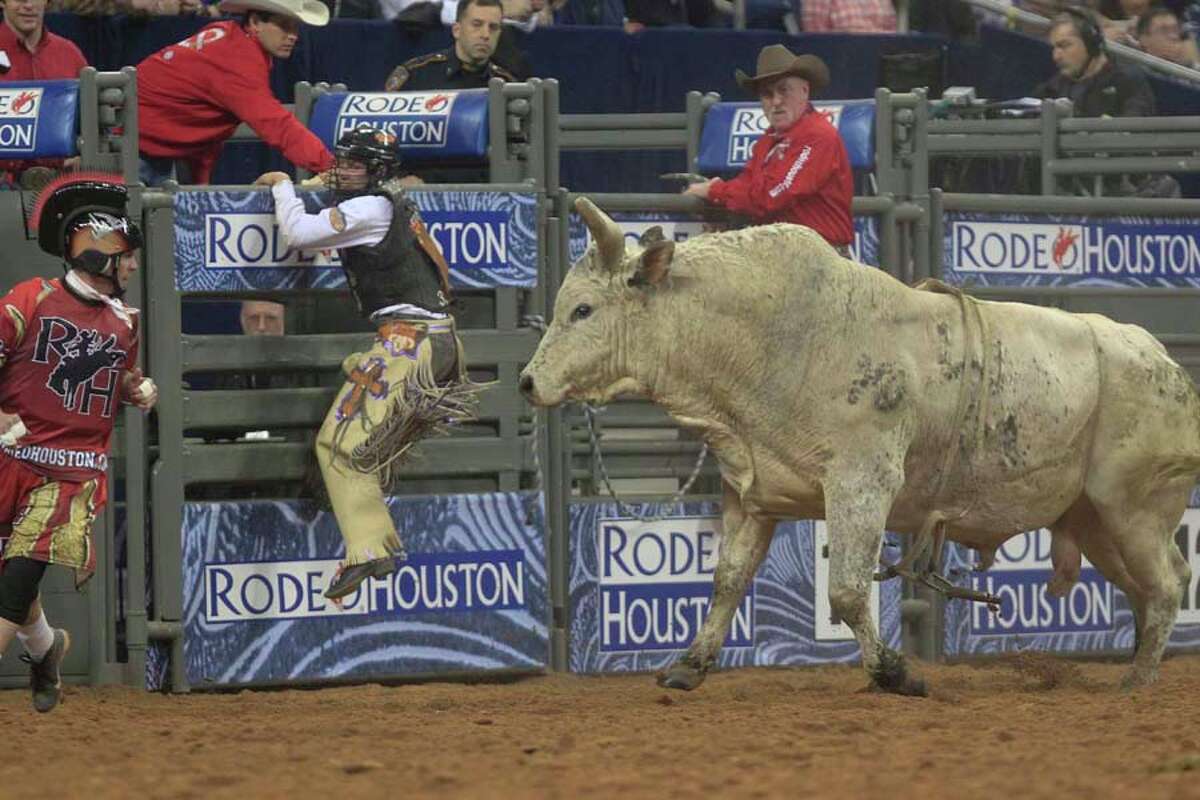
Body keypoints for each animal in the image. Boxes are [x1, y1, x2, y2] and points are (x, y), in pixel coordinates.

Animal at [519, 197, 1200, 695]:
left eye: (583, 309)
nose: (527, 381)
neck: (772, 336)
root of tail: (1161, 359)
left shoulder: (861, 482)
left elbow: (846, 590)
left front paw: (894, 672)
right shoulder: (753, 493)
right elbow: (728, 580)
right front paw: (690, 664)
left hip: (1134, 507)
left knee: (1168, 581)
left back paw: (1138, 681)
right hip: (1092, 519)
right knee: (1146, 588)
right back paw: (1137, 665)